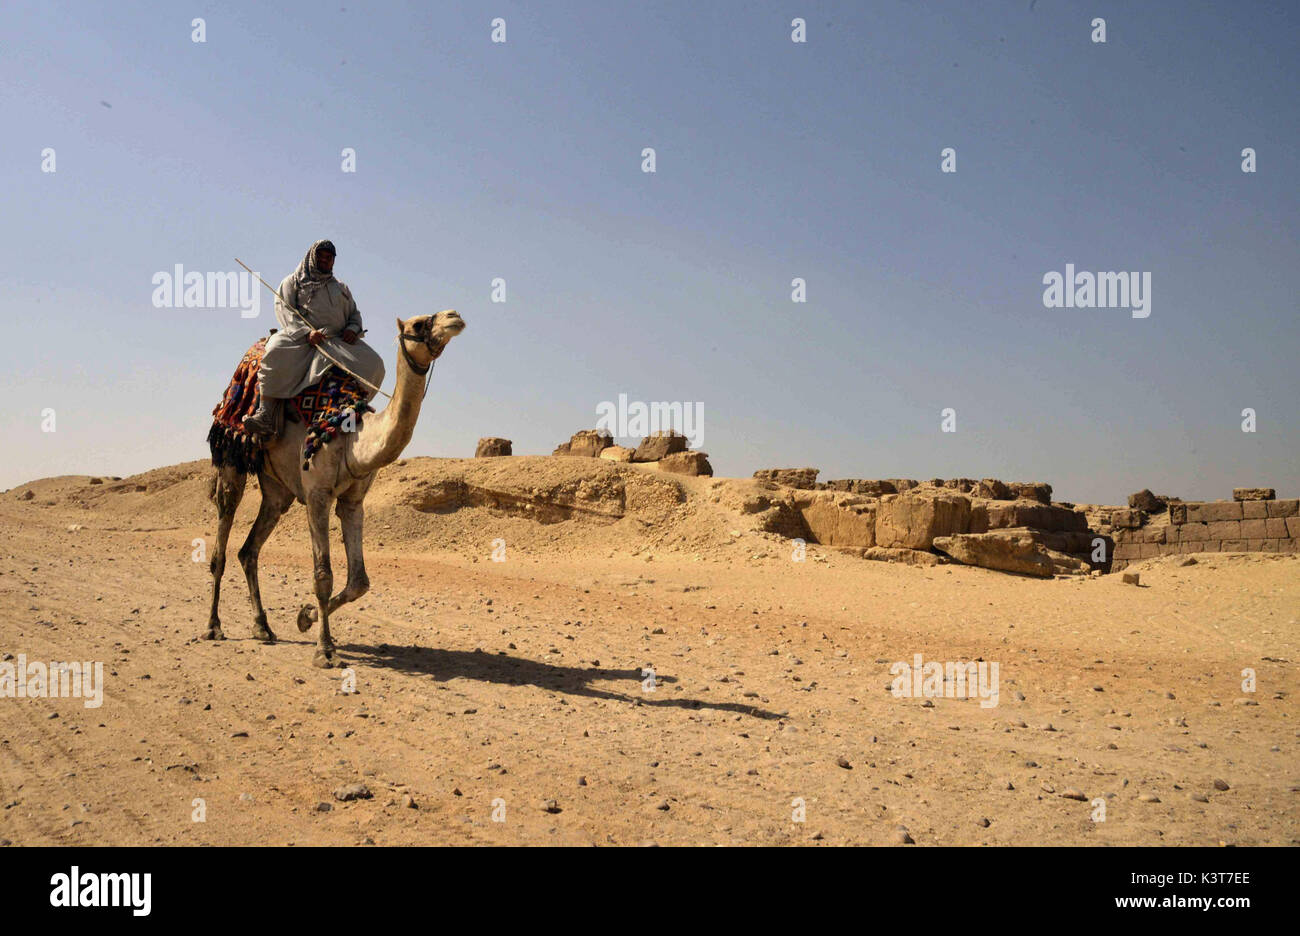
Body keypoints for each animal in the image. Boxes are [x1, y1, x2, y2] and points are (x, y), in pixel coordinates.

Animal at [205, 310, 466, 668]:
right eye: (419, 323)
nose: (455, 317)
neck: (352, 435)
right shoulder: (317, 494)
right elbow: (323, 575)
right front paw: (325, 649)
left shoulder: (353, 501)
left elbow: (359, 582)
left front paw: (305, 616)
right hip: (231, 455)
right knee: (223, 536)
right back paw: (214, 626)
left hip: (277, 488)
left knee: (249, 549)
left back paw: (262, 627)